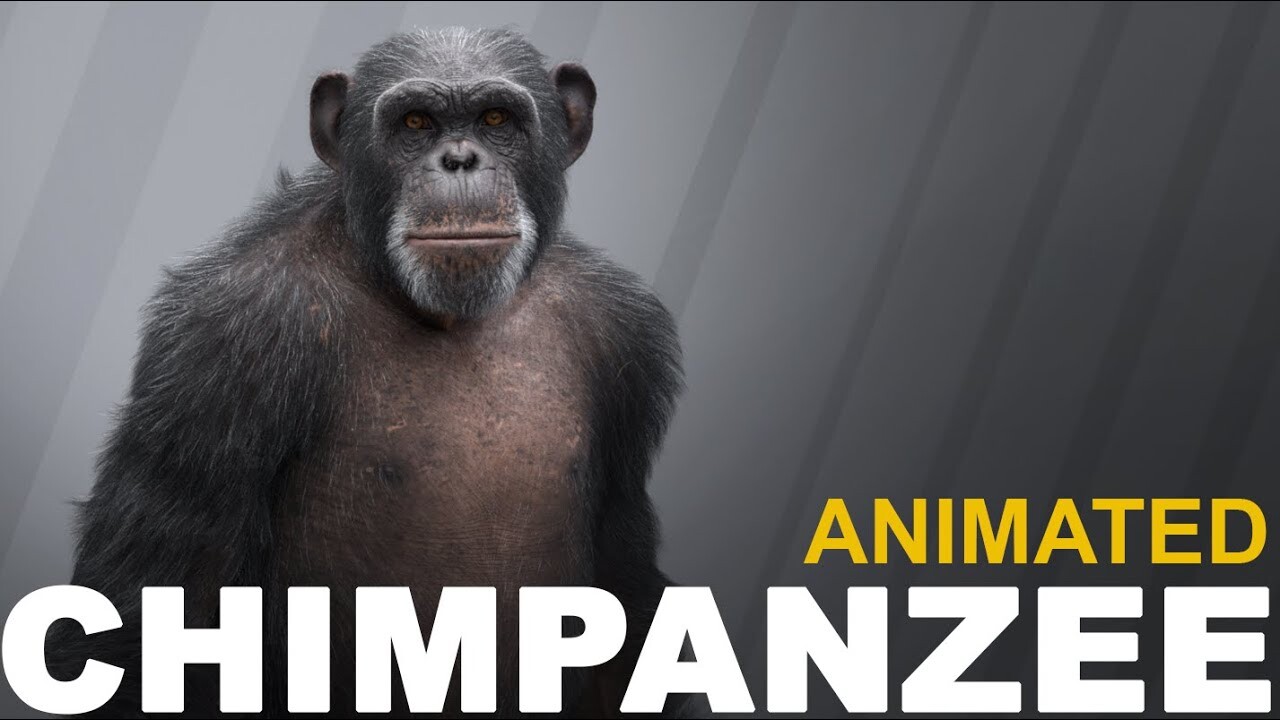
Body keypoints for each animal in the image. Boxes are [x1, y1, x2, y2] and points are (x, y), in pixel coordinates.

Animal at [46, 28, 701, 718]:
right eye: (415, 123)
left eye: (496, 120)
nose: (459, 159)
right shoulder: (223, 340)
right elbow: (150, 621)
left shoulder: (629, 334)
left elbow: (626, 584)